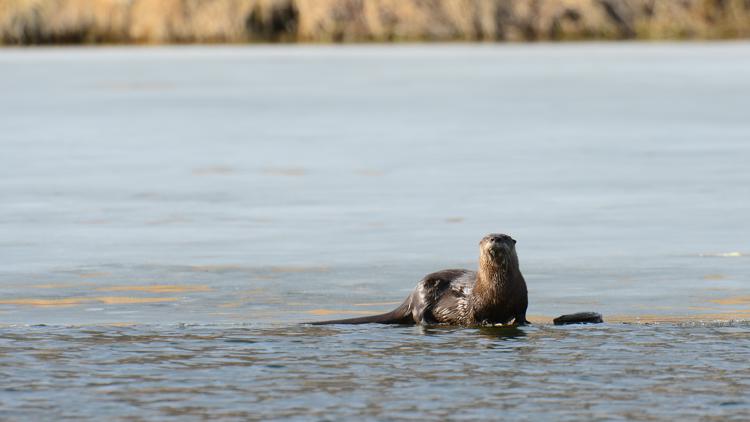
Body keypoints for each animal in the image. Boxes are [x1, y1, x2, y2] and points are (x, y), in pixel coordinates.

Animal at [311, 233, 529, 326]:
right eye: (485, 238)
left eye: (505, 237)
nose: (494, 239)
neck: (499, 289)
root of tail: (410, 294)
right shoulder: (475, 301)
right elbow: (475, 315)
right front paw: (486, 323)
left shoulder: (521, 300)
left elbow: (520, 315)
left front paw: (521, 323)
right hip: (425, 291)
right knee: (418, 315)